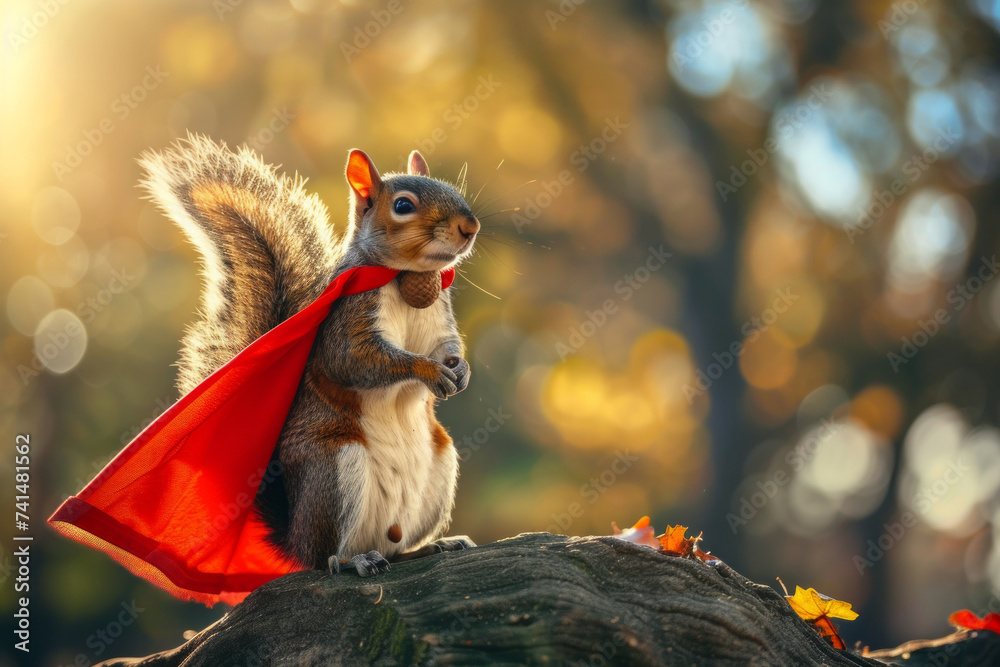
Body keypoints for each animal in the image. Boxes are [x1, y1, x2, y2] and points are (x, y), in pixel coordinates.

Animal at [139, 135, 478, 576]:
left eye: (454, 190)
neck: (405, 277)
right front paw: (428, 372)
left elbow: (448, 347)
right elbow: (357, 362)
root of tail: (294, 538)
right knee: (325, 558)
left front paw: (462, 370)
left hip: (441, 462)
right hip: (334, 468)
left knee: (396, 550)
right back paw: (354, 561)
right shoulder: (347, 323)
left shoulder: (440, 320)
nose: (470, 227)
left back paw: (432, 546)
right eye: (403, 205)